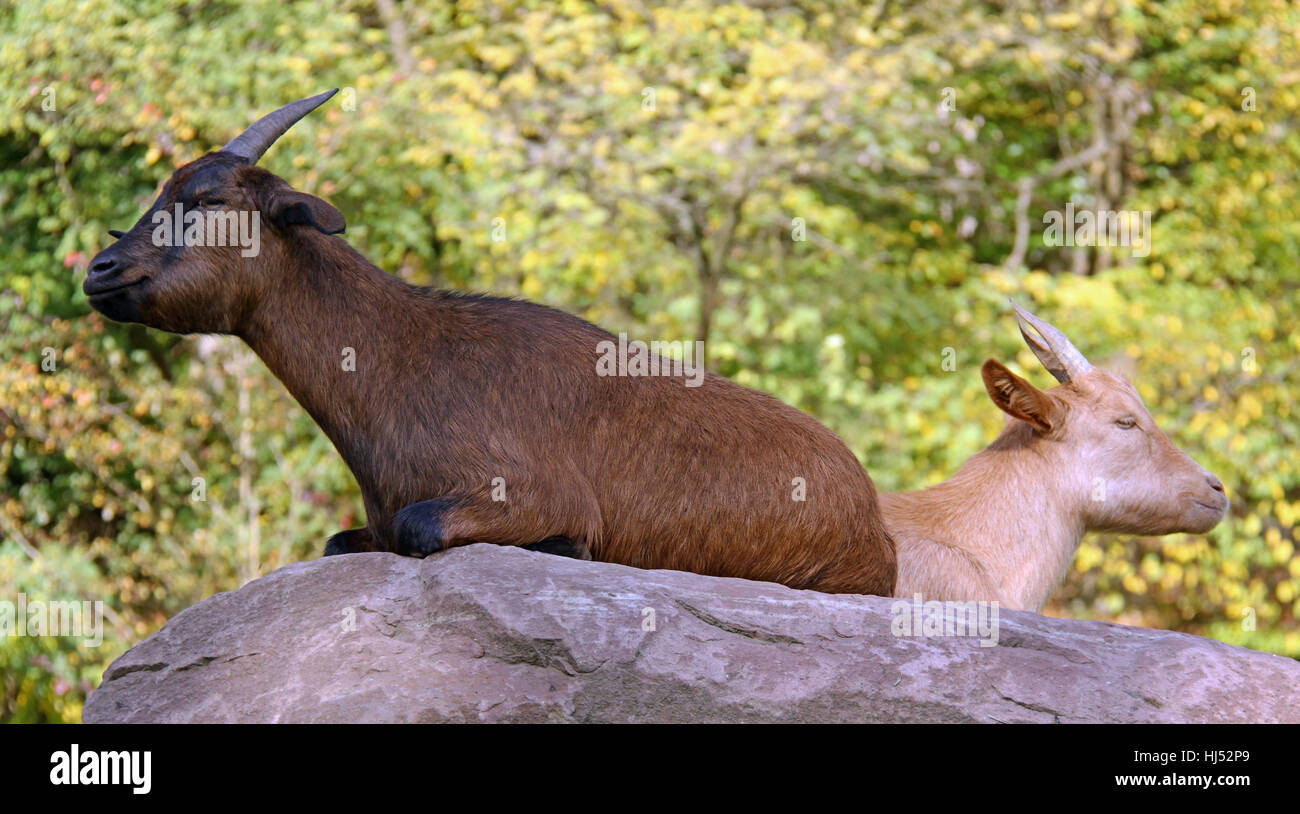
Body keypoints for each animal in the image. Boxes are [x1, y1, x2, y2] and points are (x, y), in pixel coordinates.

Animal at [83, 90, 897, 595]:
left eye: (209, 200)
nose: (100, 270)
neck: (404, 358)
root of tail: (874, 523)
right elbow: (344, 540)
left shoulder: (530, 490)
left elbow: (421, 525)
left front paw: (564, 548)